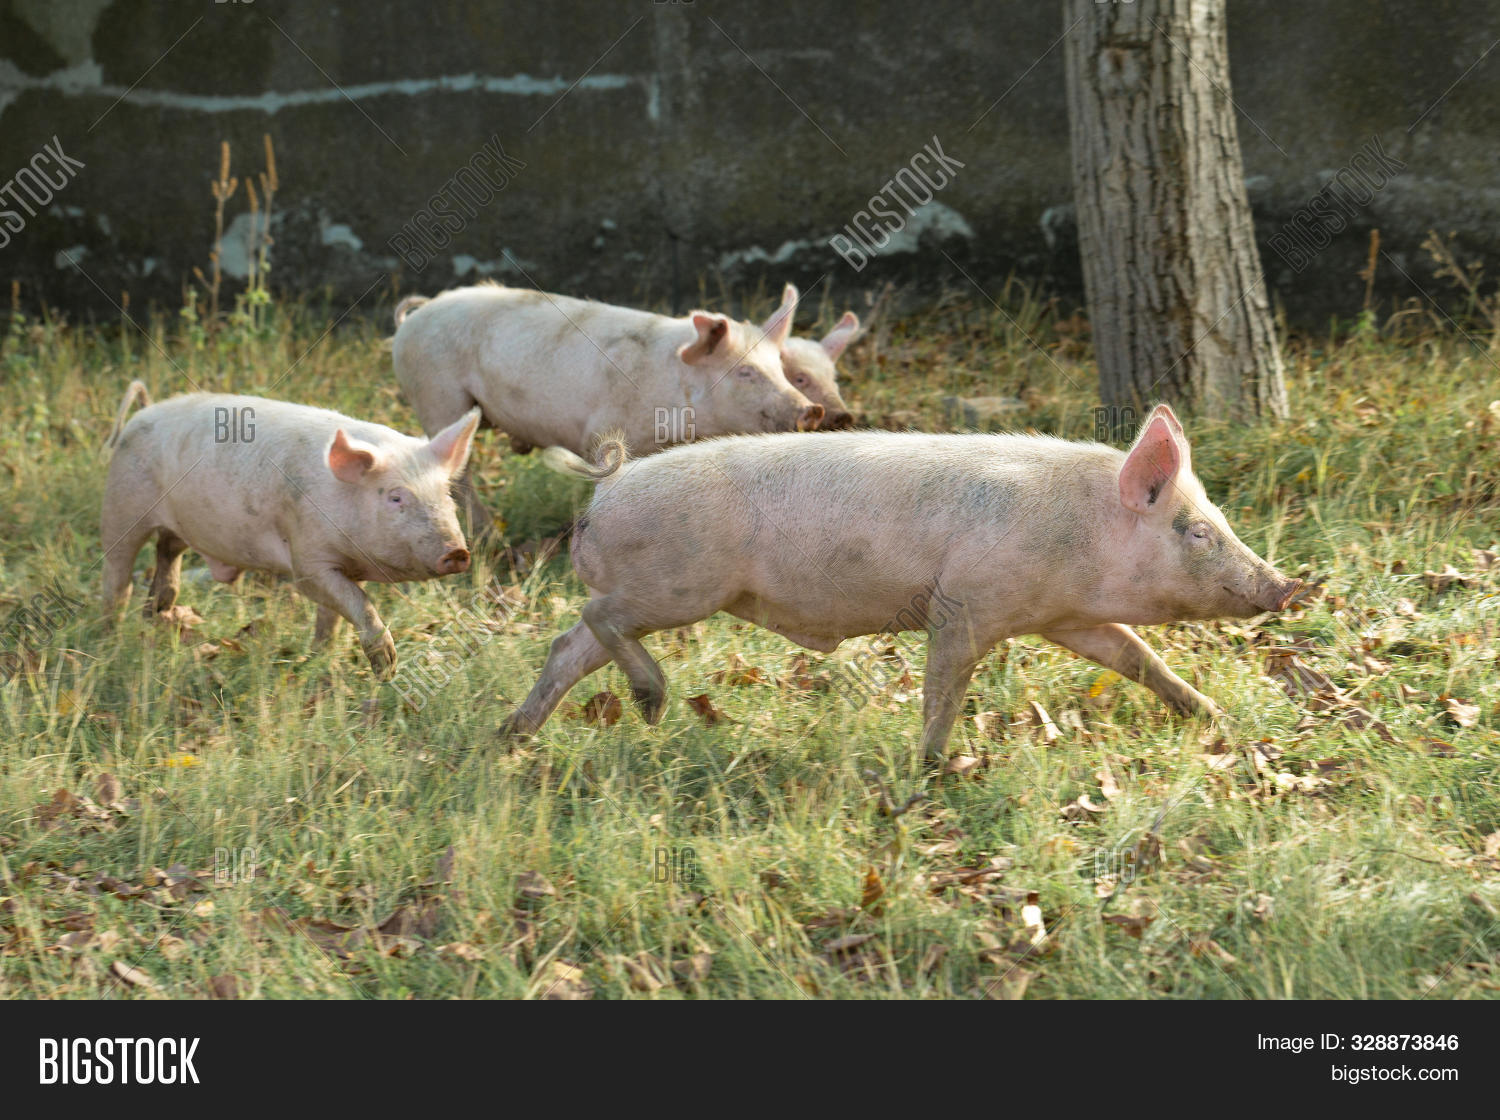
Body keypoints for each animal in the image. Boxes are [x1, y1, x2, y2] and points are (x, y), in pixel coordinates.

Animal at [100, 381, 481, 679]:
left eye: (446, 493)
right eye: (396, 497)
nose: (457, 552)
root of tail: (143, 413)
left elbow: (333, 616)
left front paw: (319, 660)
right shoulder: (307, 559)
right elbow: (353, 599)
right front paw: (387, 667)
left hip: (176, 526)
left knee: (167, 551)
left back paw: (156, 614)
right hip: (122, 505)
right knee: (118, 575)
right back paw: (112, 635)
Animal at [390, 282, 824, 531]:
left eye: (780, 367)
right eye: (745, 372)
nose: (812, 410)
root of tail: (416, 315)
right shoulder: (605, 432)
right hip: (436, 395)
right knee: (458, 471)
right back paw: (487, 535)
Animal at [501, 404, 1301, 760]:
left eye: (1218, 518)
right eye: (1197, 532)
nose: (1288, 587)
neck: (1080, 533)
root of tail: (605, 490)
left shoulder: (1068, 617)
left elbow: (1139, 656)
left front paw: (1213, 716)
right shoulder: (963, 606)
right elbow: (944, 688)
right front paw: (931, 766)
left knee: (568, 645)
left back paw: (512, 736)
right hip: (678, 584)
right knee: (595, 618)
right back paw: (650, 702)